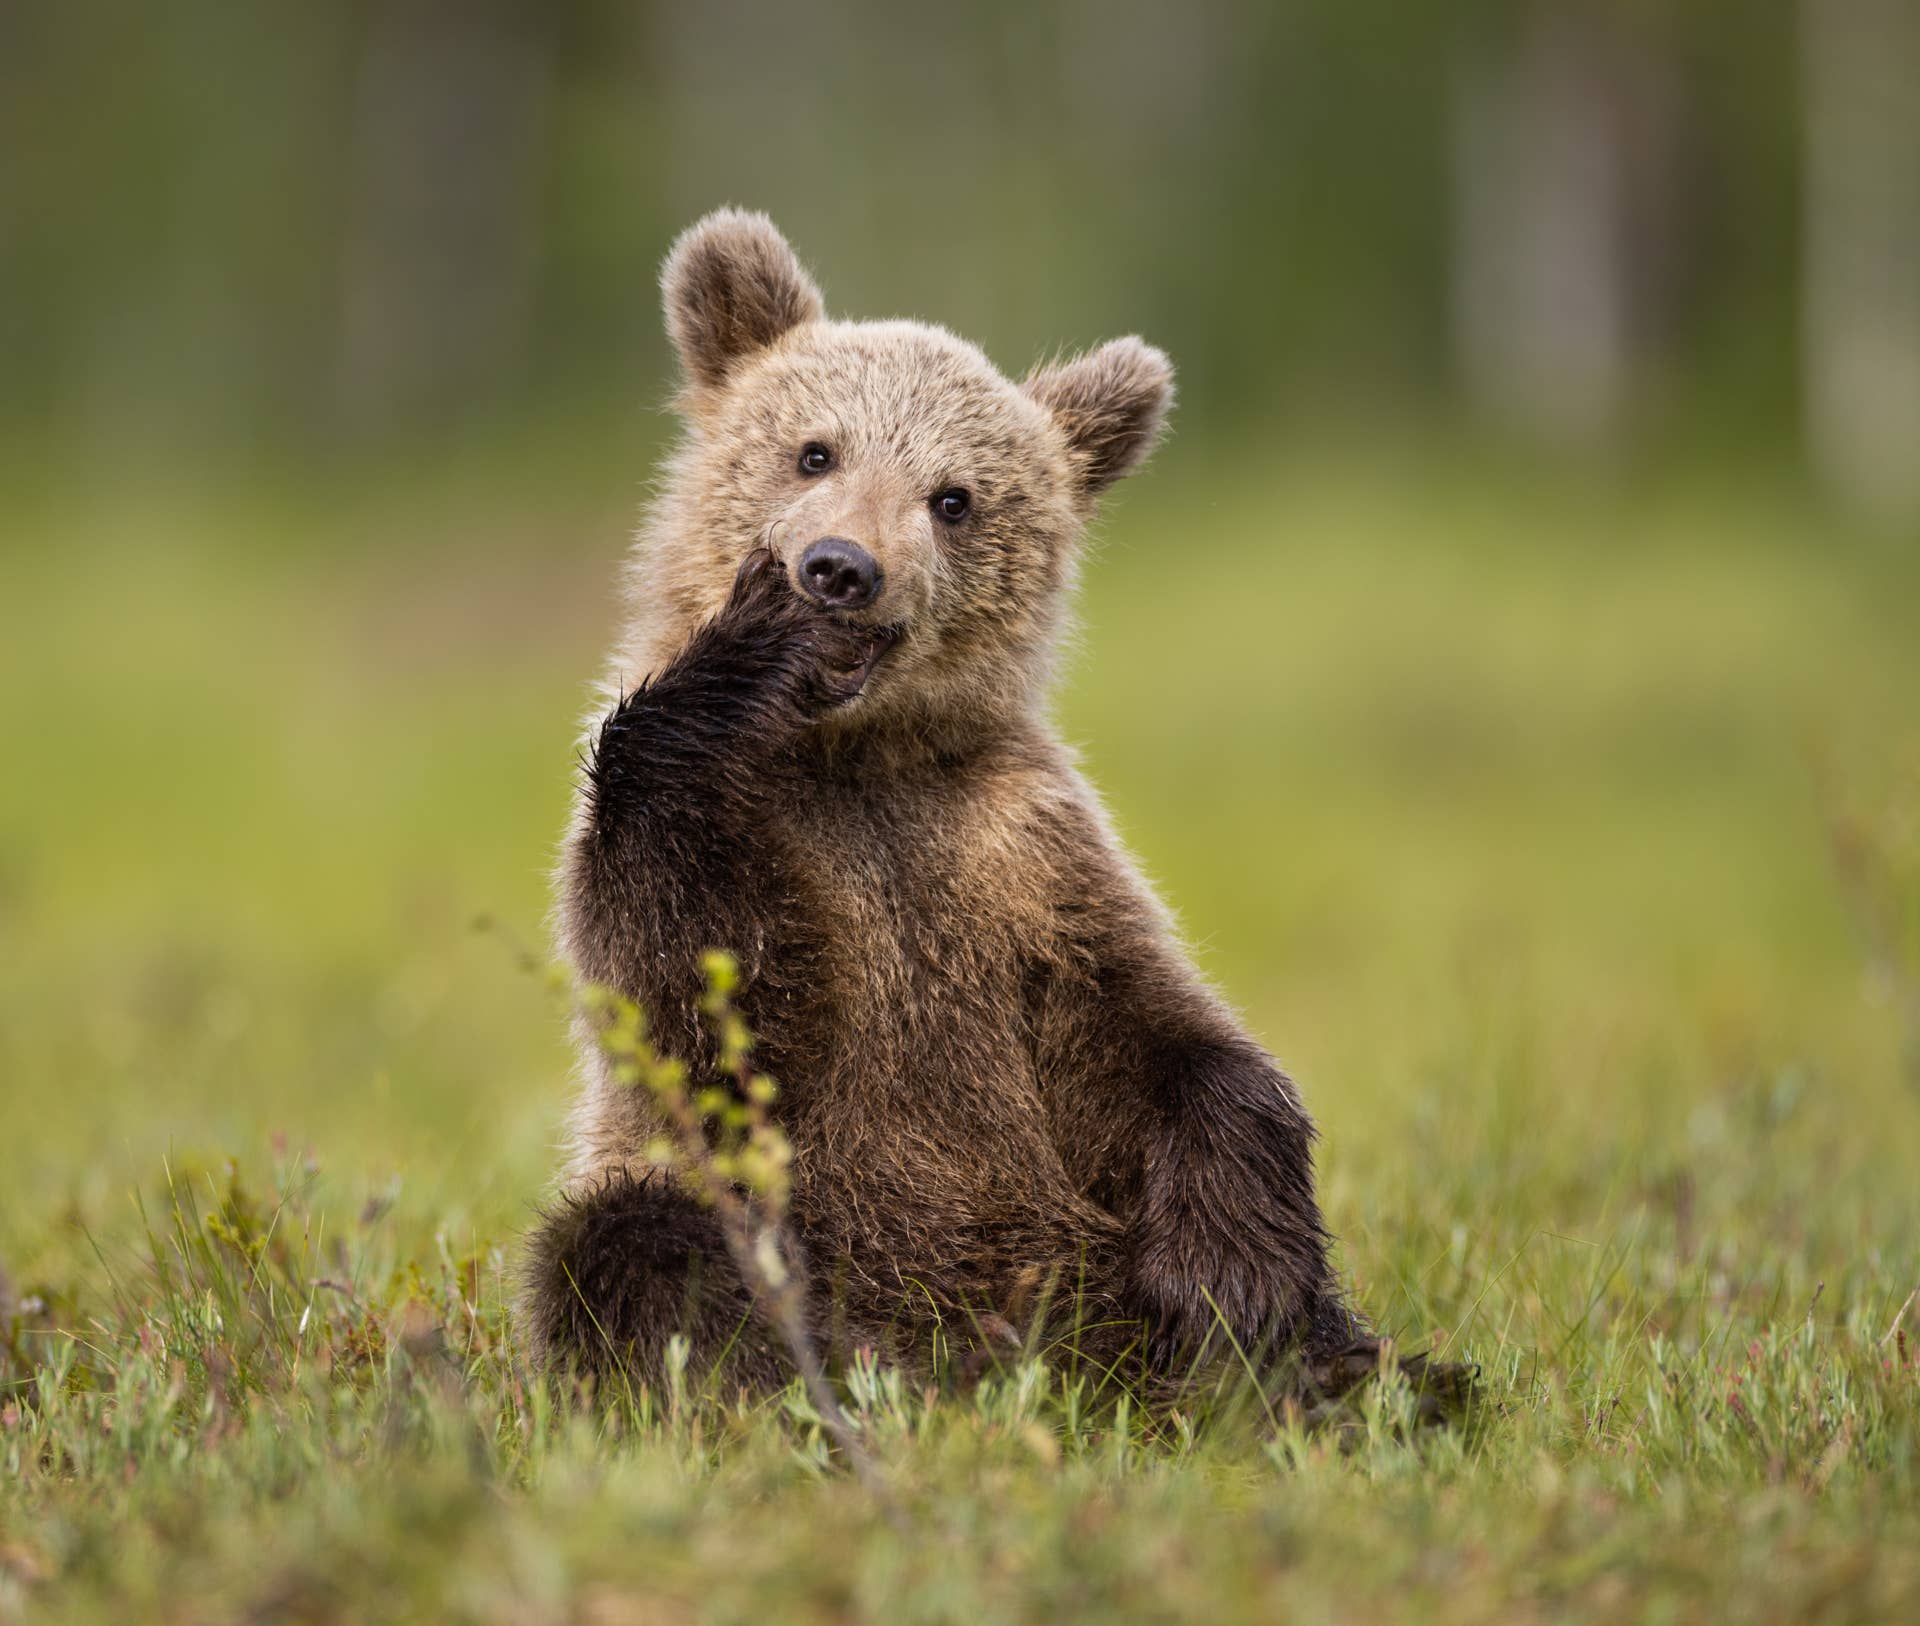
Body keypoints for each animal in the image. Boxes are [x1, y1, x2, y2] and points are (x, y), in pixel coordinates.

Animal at [523, 208, 1379, 1394]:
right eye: (816, 450)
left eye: (955, 497)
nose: (840, 568)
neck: (857, 756)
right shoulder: (757, 851)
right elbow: (699, 991)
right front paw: (751, 640)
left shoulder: (1015, 848)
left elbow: (1158, 1030)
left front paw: (1233, 1287)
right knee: (630, 1244)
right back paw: (827, 1369)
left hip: (1069, 1255)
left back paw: (1323, 1374)